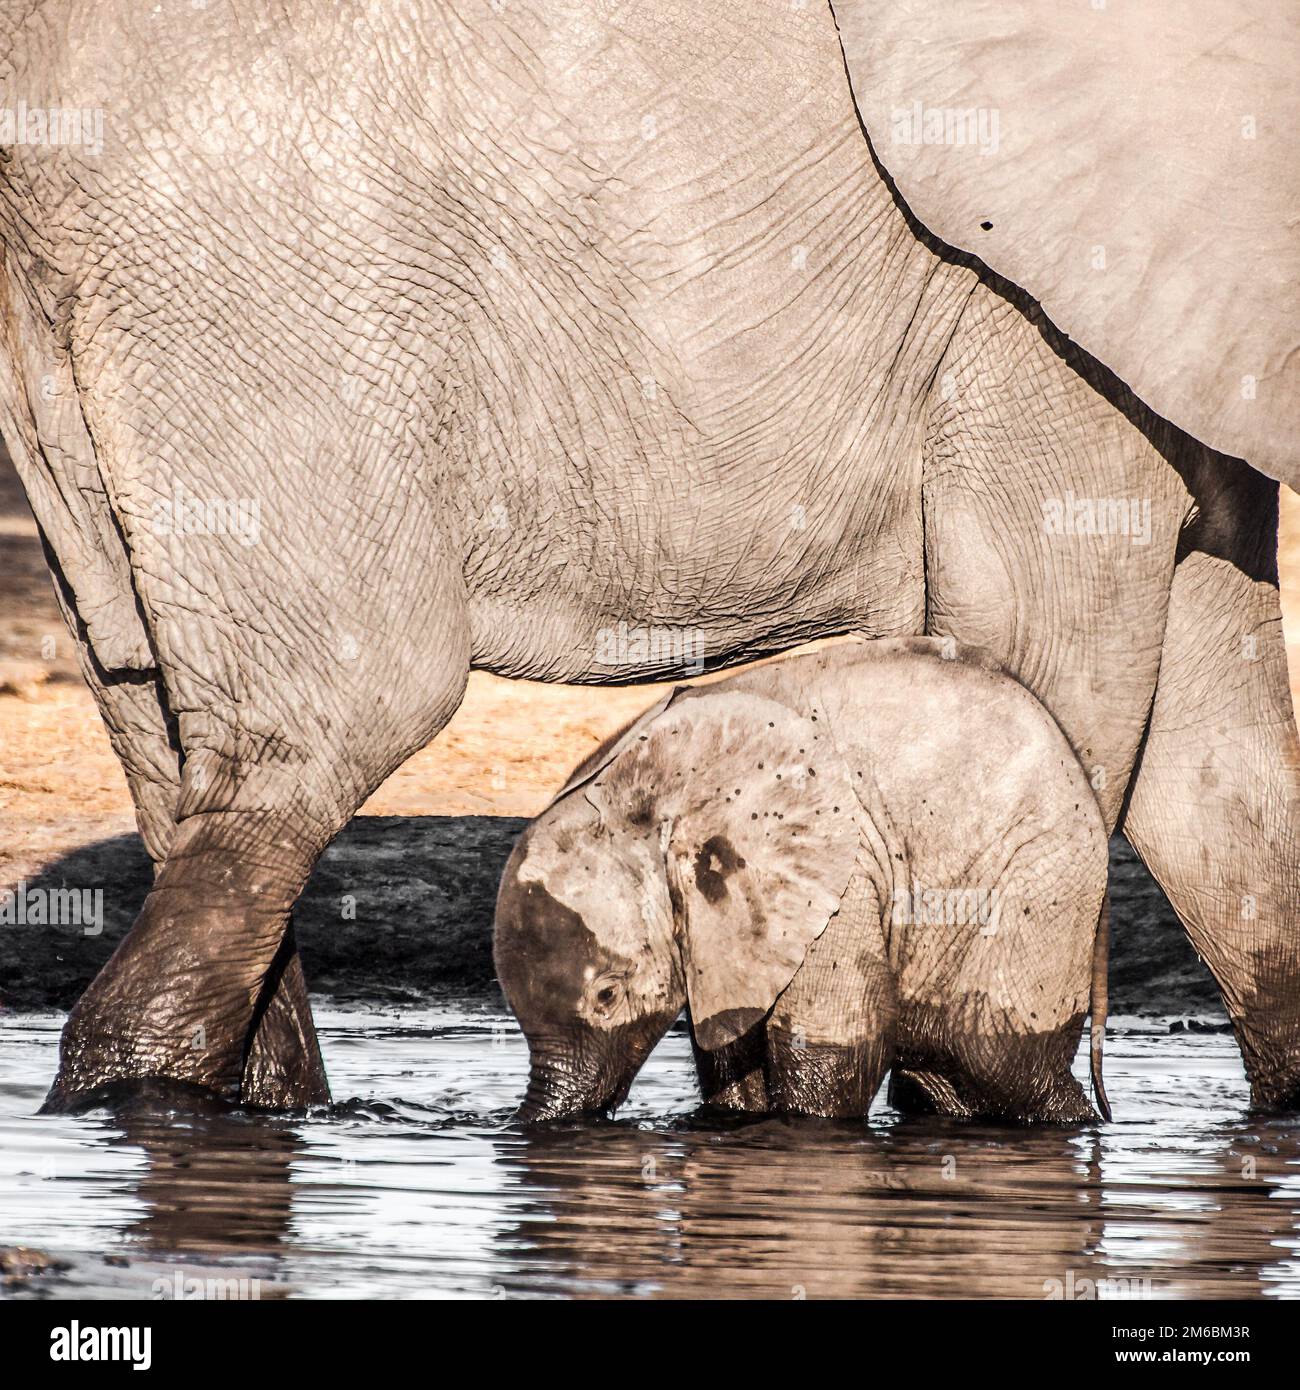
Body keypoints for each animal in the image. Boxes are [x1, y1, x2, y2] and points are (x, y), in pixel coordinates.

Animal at [494, 637, 1112, 1124]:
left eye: (608, 995)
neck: (646, 793)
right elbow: (732, 1055)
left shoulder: (844, 873)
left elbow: (832, 1048)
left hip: (1035, 880)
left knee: (999, 1062)